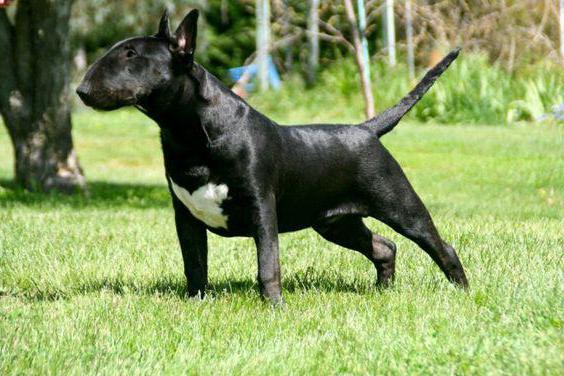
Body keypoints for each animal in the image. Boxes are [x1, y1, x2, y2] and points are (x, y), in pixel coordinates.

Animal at [78, 10, 468, 304]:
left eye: (132, 55)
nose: (81, 90)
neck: (190, 132)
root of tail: (367, 130)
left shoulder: (262, 208)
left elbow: (268, 263)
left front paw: (274, 306)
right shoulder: (185, 216)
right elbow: (195, 263)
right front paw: (196, 302)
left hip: (400, 205)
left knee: (439, 245)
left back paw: (462, 291)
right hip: (335, 223)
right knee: (384, 247)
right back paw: (383, 291)